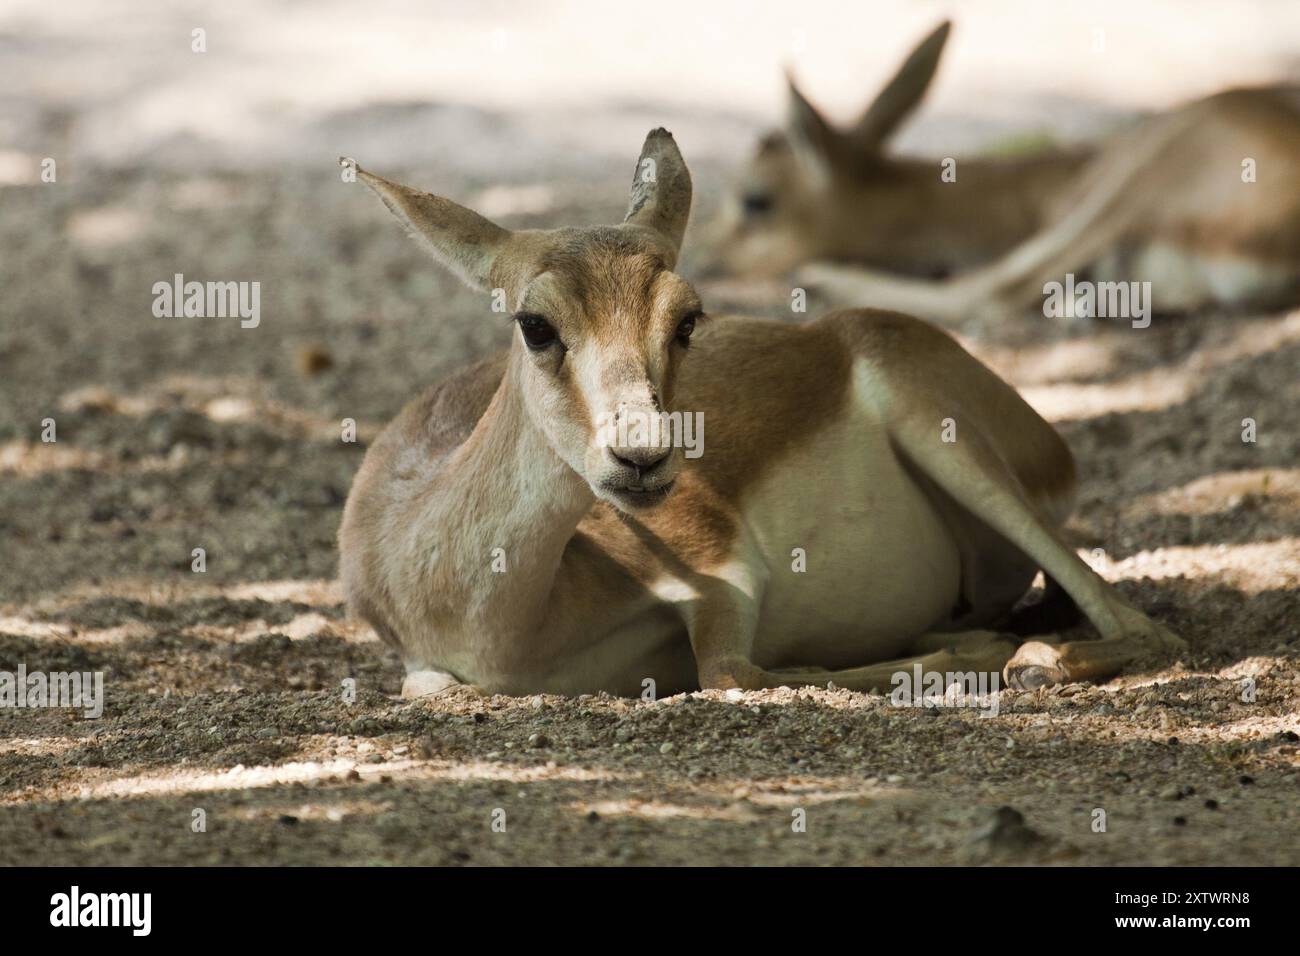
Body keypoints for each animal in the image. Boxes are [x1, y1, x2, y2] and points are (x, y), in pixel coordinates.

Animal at [337, 130, 1182, 700]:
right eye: (535, 324)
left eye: (687, 319)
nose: (642, 457)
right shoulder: (428, 671)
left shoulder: (722, 573)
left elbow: (729, 669)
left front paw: (967, 656)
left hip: (939, 425)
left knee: (1144, 628)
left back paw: (1025, 656)